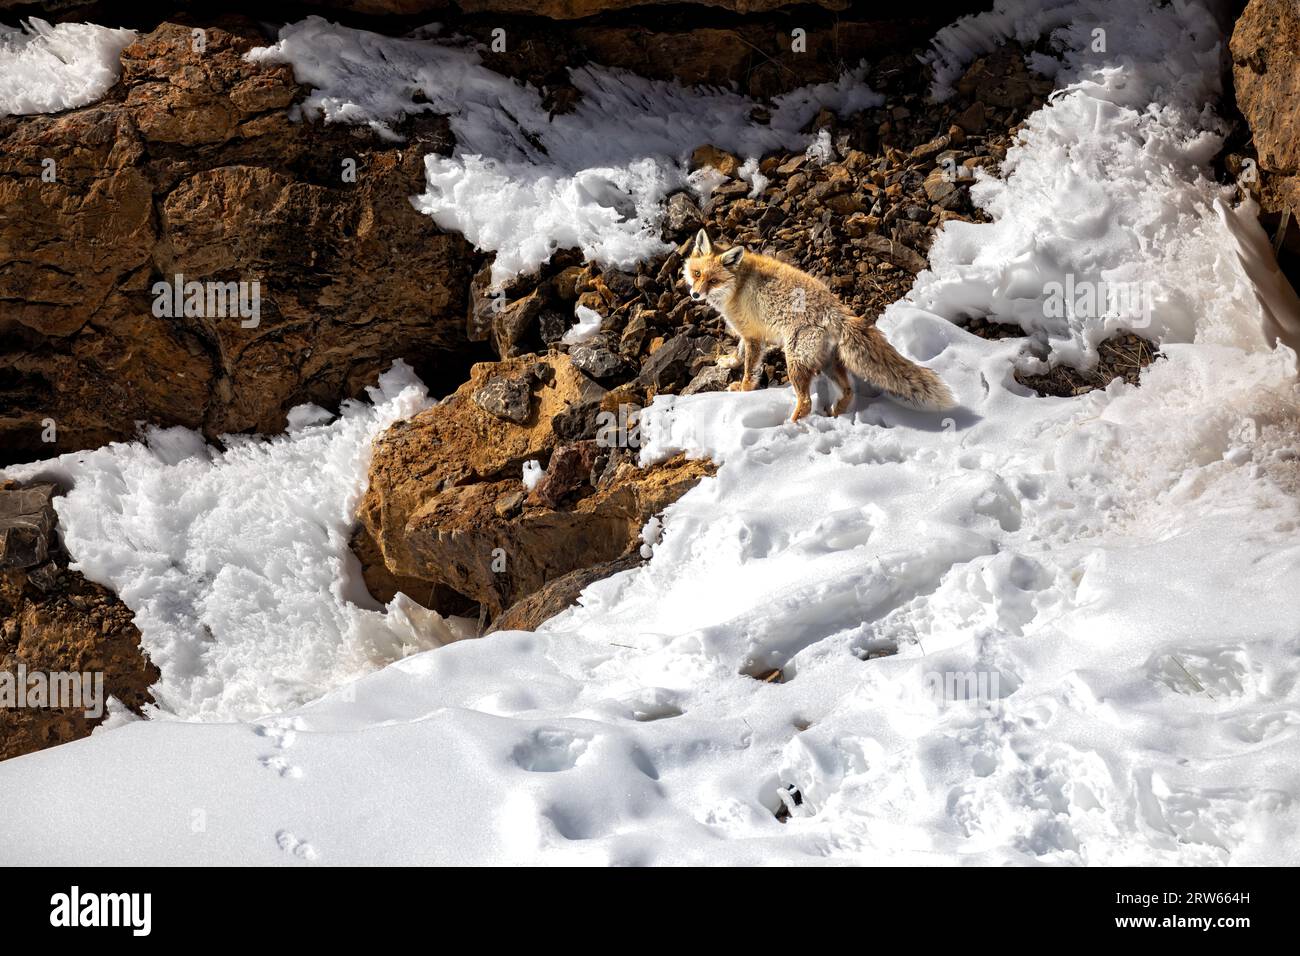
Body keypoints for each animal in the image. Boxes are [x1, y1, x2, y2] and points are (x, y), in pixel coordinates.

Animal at [683, 229, 956, 422]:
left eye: (714, 280)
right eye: (697, 274)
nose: (695, 295)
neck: (737, 286)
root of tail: (837, 312)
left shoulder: (753, 337)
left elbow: (750, 368)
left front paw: (743, 390)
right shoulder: (748, 333)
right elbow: (738, 354)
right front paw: (728, 362)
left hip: (795, 362)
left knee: (805, 403)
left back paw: (792, 425)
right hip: (828, 363)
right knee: (848, 391)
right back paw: (835, 413)